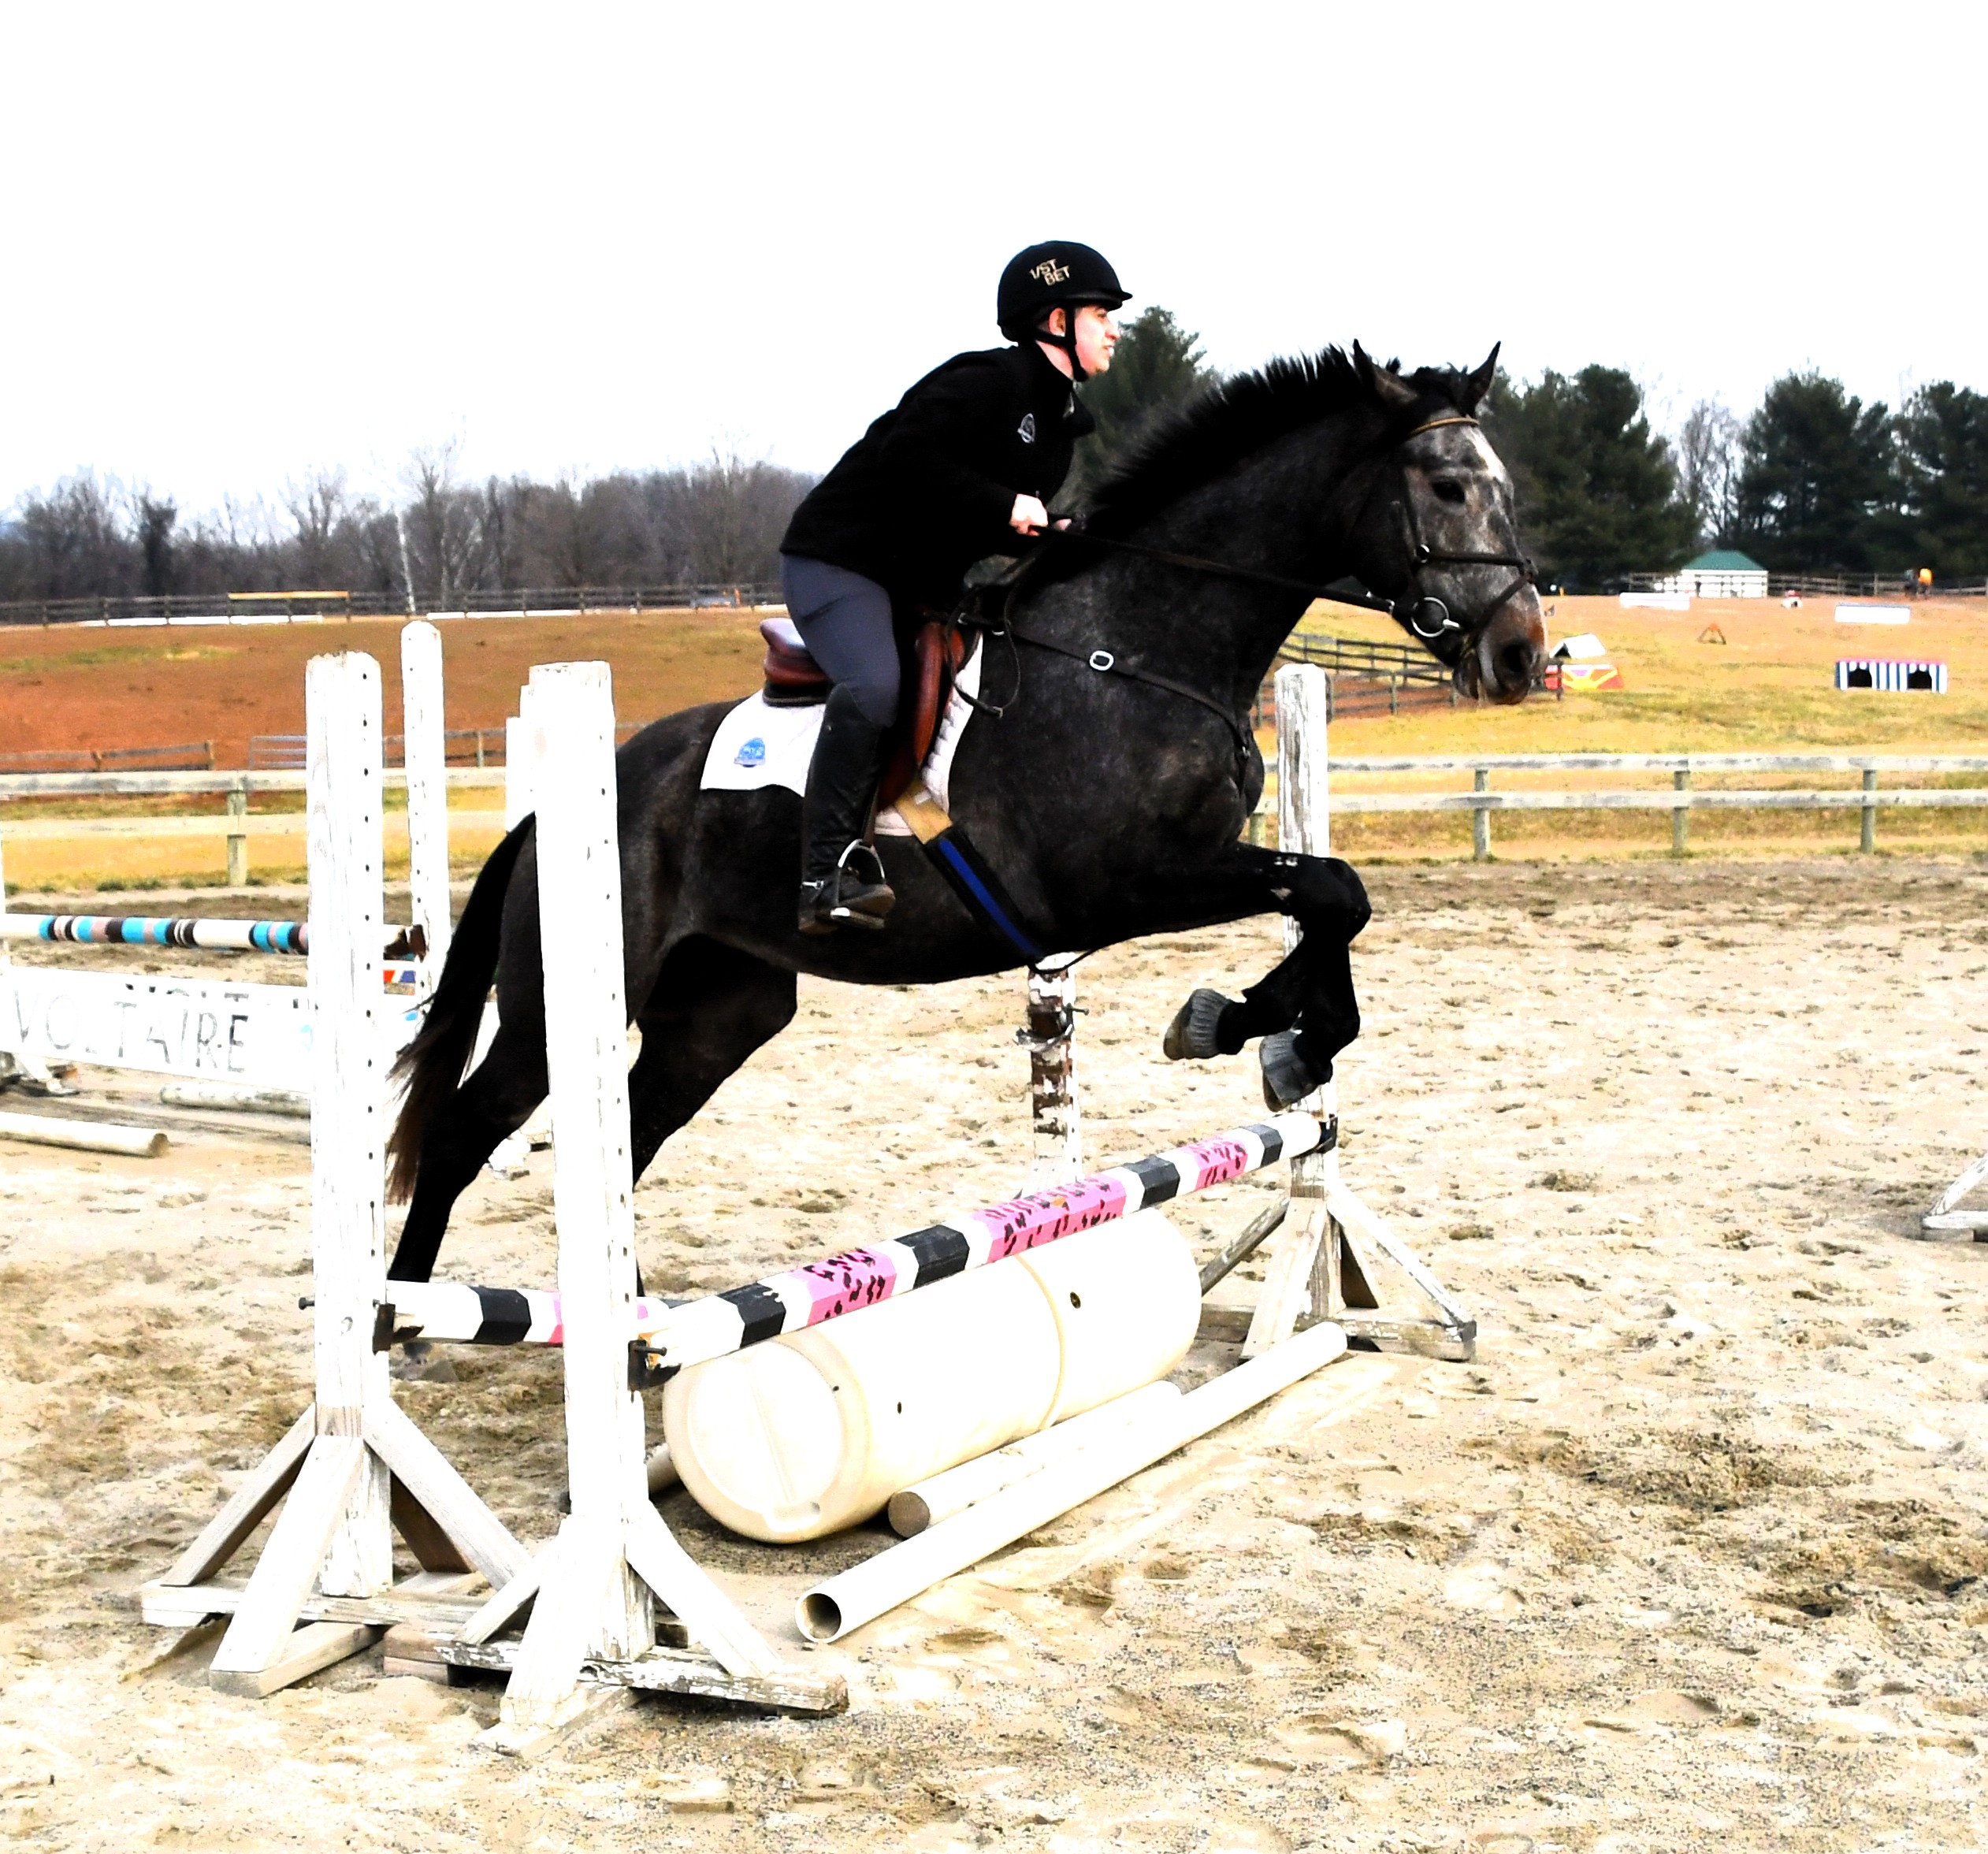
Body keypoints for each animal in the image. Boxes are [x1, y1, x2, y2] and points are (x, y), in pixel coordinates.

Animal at [384, 342, 1544, 1282]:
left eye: (1506, 489)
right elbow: (1330, 890)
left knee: (637, 1126)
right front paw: (1239, 1025)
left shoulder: (1201, 863)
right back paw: (400, 1318)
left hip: (719, 1008)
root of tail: (553, 813)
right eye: (1446, 486)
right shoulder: (1125, 880)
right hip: (562, 1000)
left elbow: (1330, 906)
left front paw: (1272, 1038)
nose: (1521, 655)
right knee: (465, 1129)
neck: (1137, 648)